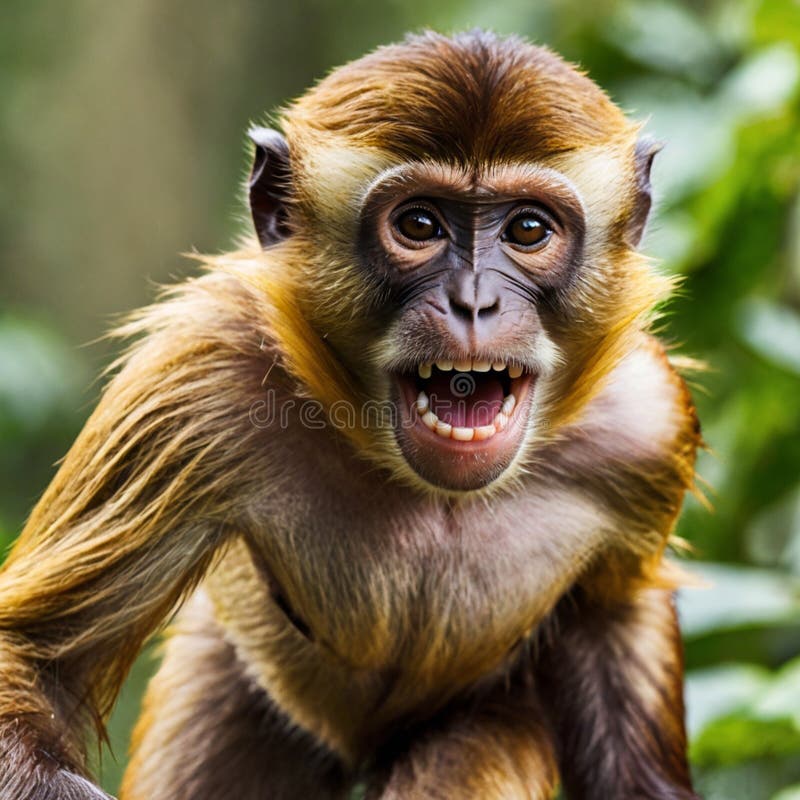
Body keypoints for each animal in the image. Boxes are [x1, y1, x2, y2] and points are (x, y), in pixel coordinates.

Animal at [0, 30, 702, 800]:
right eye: (419, 224)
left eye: (527, 229)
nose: (474, 302)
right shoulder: (198, 386)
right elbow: (34, 660)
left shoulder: (644, 430)